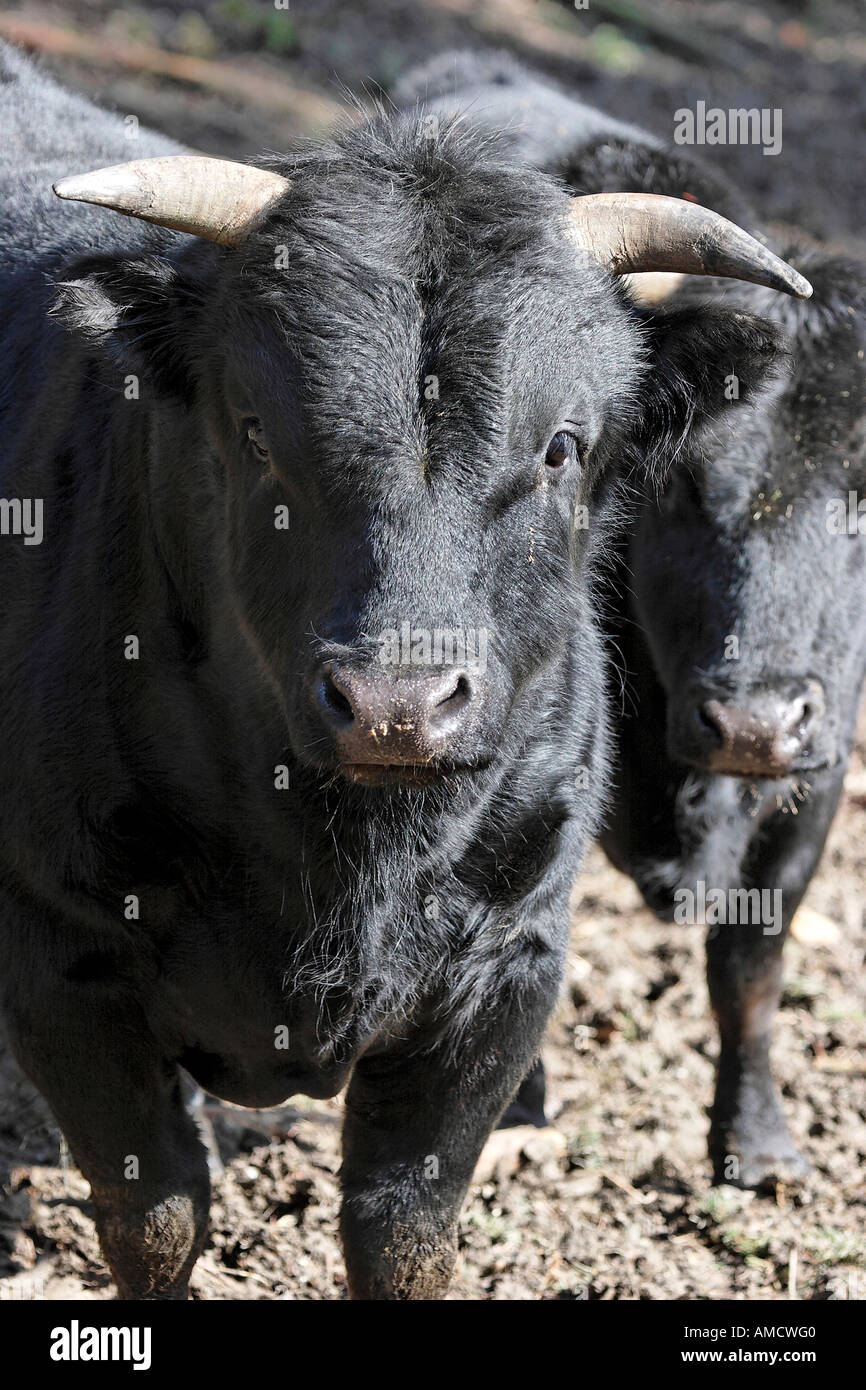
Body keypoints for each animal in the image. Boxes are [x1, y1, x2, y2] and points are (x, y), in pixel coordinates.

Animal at [0, 41, 809, 1300]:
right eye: (254, 431)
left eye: (560, 445)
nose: (395, 706)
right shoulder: (59, 950)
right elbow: (156, 1214)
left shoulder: (505, 966)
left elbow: (402, 1231)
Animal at [400, 51, 866, 1187]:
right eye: (683, 487)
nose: (752, 723)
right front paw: (514, 1109)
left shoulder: (823, 767)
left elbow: (751, 963)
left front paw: (757, 1139)